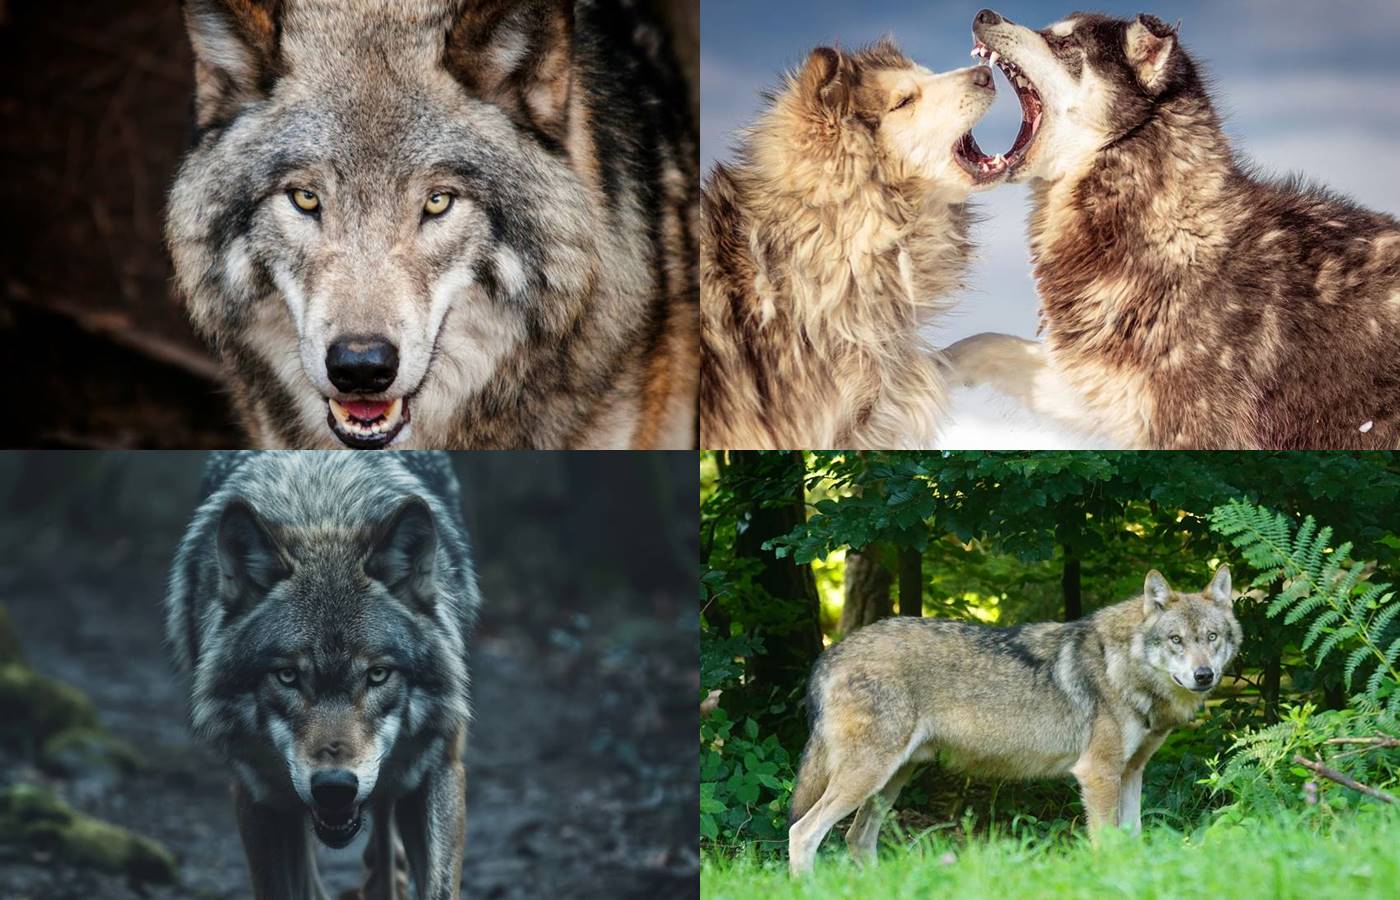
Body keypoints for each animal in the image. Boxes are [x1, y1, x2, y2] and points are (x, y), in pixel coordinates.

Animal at [165, 451, 479, 899]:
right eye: (287, 676)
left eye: (378, 674)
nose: (334, 788)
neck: (322, 509)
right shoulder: (257, 795)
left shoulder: (439, 766)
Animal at [788, 566, 1239, 875]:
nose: (1204, 676)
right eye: (1176, 640)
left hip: (891, 780)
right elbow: (1106, 844)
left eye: (1212, 638)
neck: (1123, 667)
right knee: (803, 833)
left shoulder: (1130, 772)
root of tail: (830, 653)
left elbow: (1133, 840)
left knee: (857, 838)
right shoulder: (1098, 774)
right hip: (868, 776)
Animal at [944, 9, 1400, 450]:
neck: (1175, 233)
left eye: (1066, 43)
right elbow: (984, 343)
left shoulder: (1196, 425)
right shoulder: (1115, 393)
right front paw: (935, 369)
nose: (984, 13)